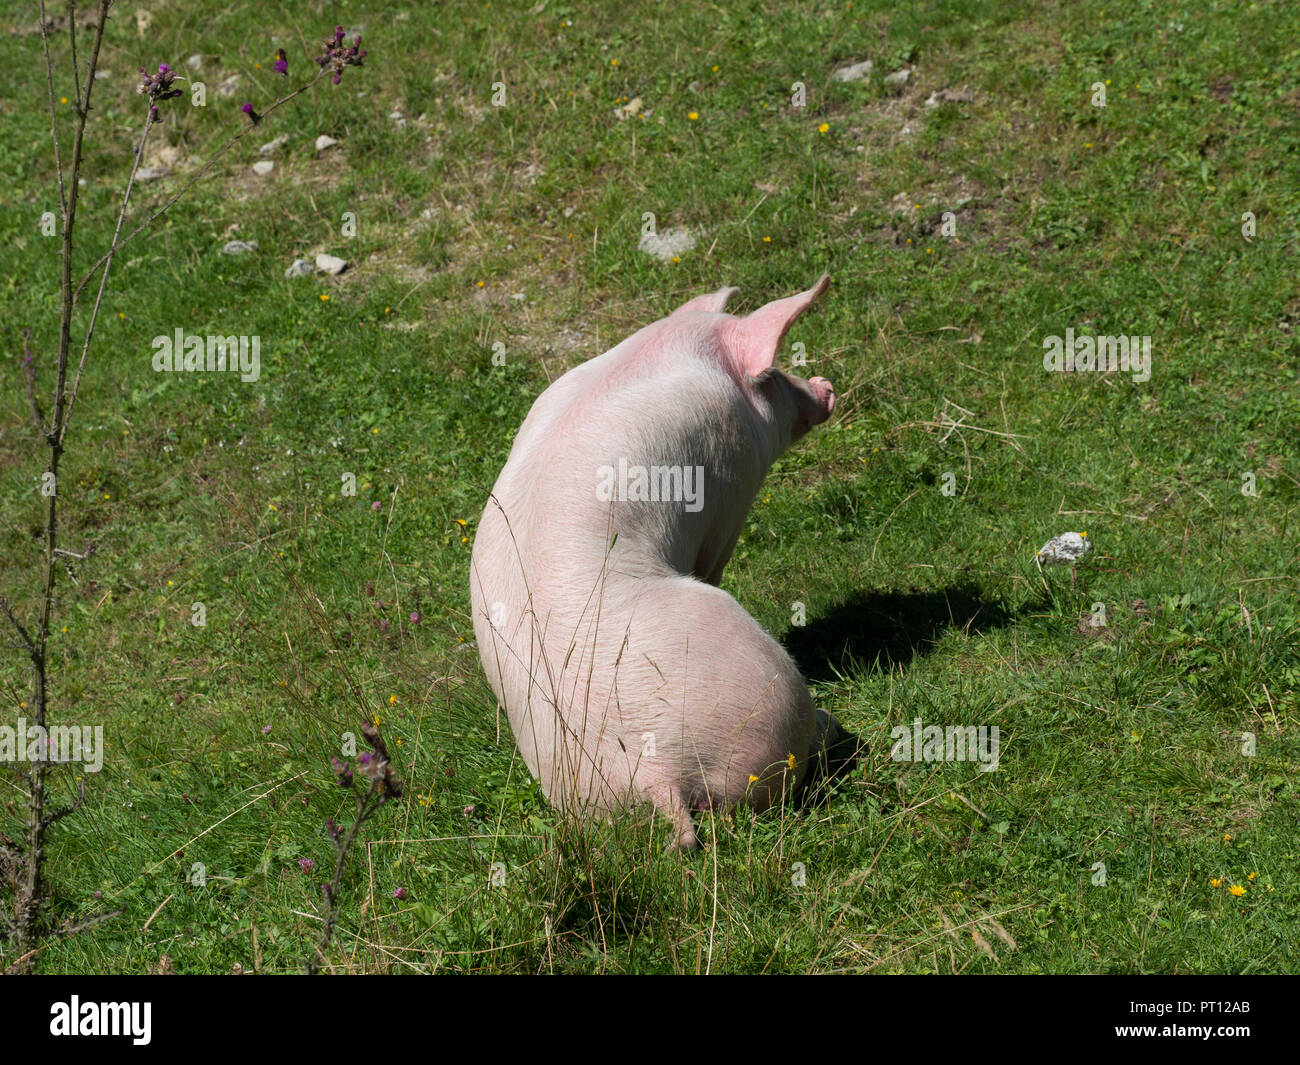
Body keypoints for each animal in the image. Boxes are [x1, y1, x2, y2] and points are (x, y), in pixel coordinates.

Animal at [469, 275, 845, 849]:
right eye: (774, 375)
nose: (826, 386)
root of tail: (654, 772)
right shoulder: (732, 486)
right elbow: (715, 556)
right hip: (764, 692)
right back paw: (833, 722)